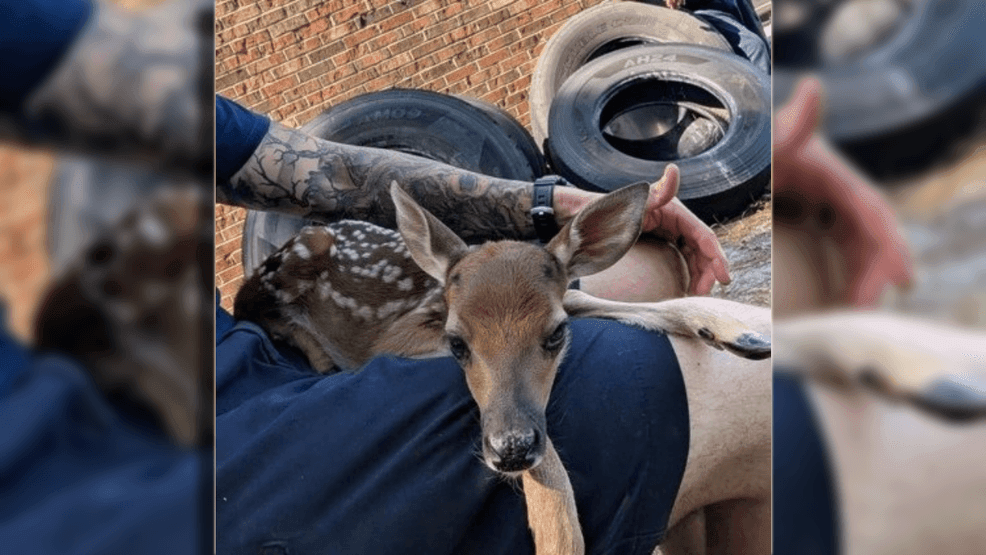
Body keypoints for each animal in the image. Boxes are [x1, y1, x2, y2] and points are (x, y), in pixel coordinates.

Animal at [233, 178, 772, 555]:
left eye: (553, 335)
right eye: (457, 343)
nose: (510, 451)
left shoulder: (562, 308)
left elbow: (585, 300)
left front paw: (734, 332)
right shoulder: (394, 338)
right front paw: (559, 534)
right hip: (298, 258)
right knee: (247, 305)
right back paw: (318, 355)